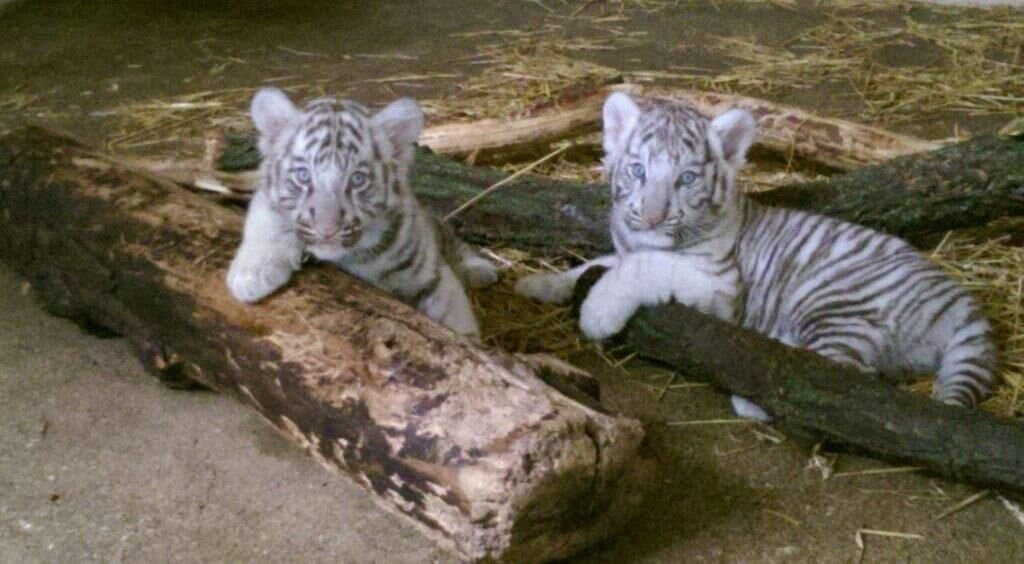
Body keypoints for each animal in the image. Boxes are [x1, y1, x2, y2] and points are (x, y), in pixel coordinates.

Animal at [226, 87, 498, 339]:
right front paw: (250, 277)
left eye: (357, 179)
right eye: (303, 176)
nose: (327, 230)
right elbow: (267, 221)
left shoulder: (432, 276)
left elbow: (457, 319)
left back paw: (481, 270)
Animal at [516, 92, 997, 412]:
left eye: (686, 179)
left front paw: (597, 312)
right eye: (637, 171)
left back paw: (758, 395)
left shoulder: (719, 285)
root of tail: (962, 302)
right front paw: (537, 283)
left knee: (845, 377)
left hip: (836, 302)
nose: (652, 218)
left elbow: (642, 266)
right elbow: (598, 262)